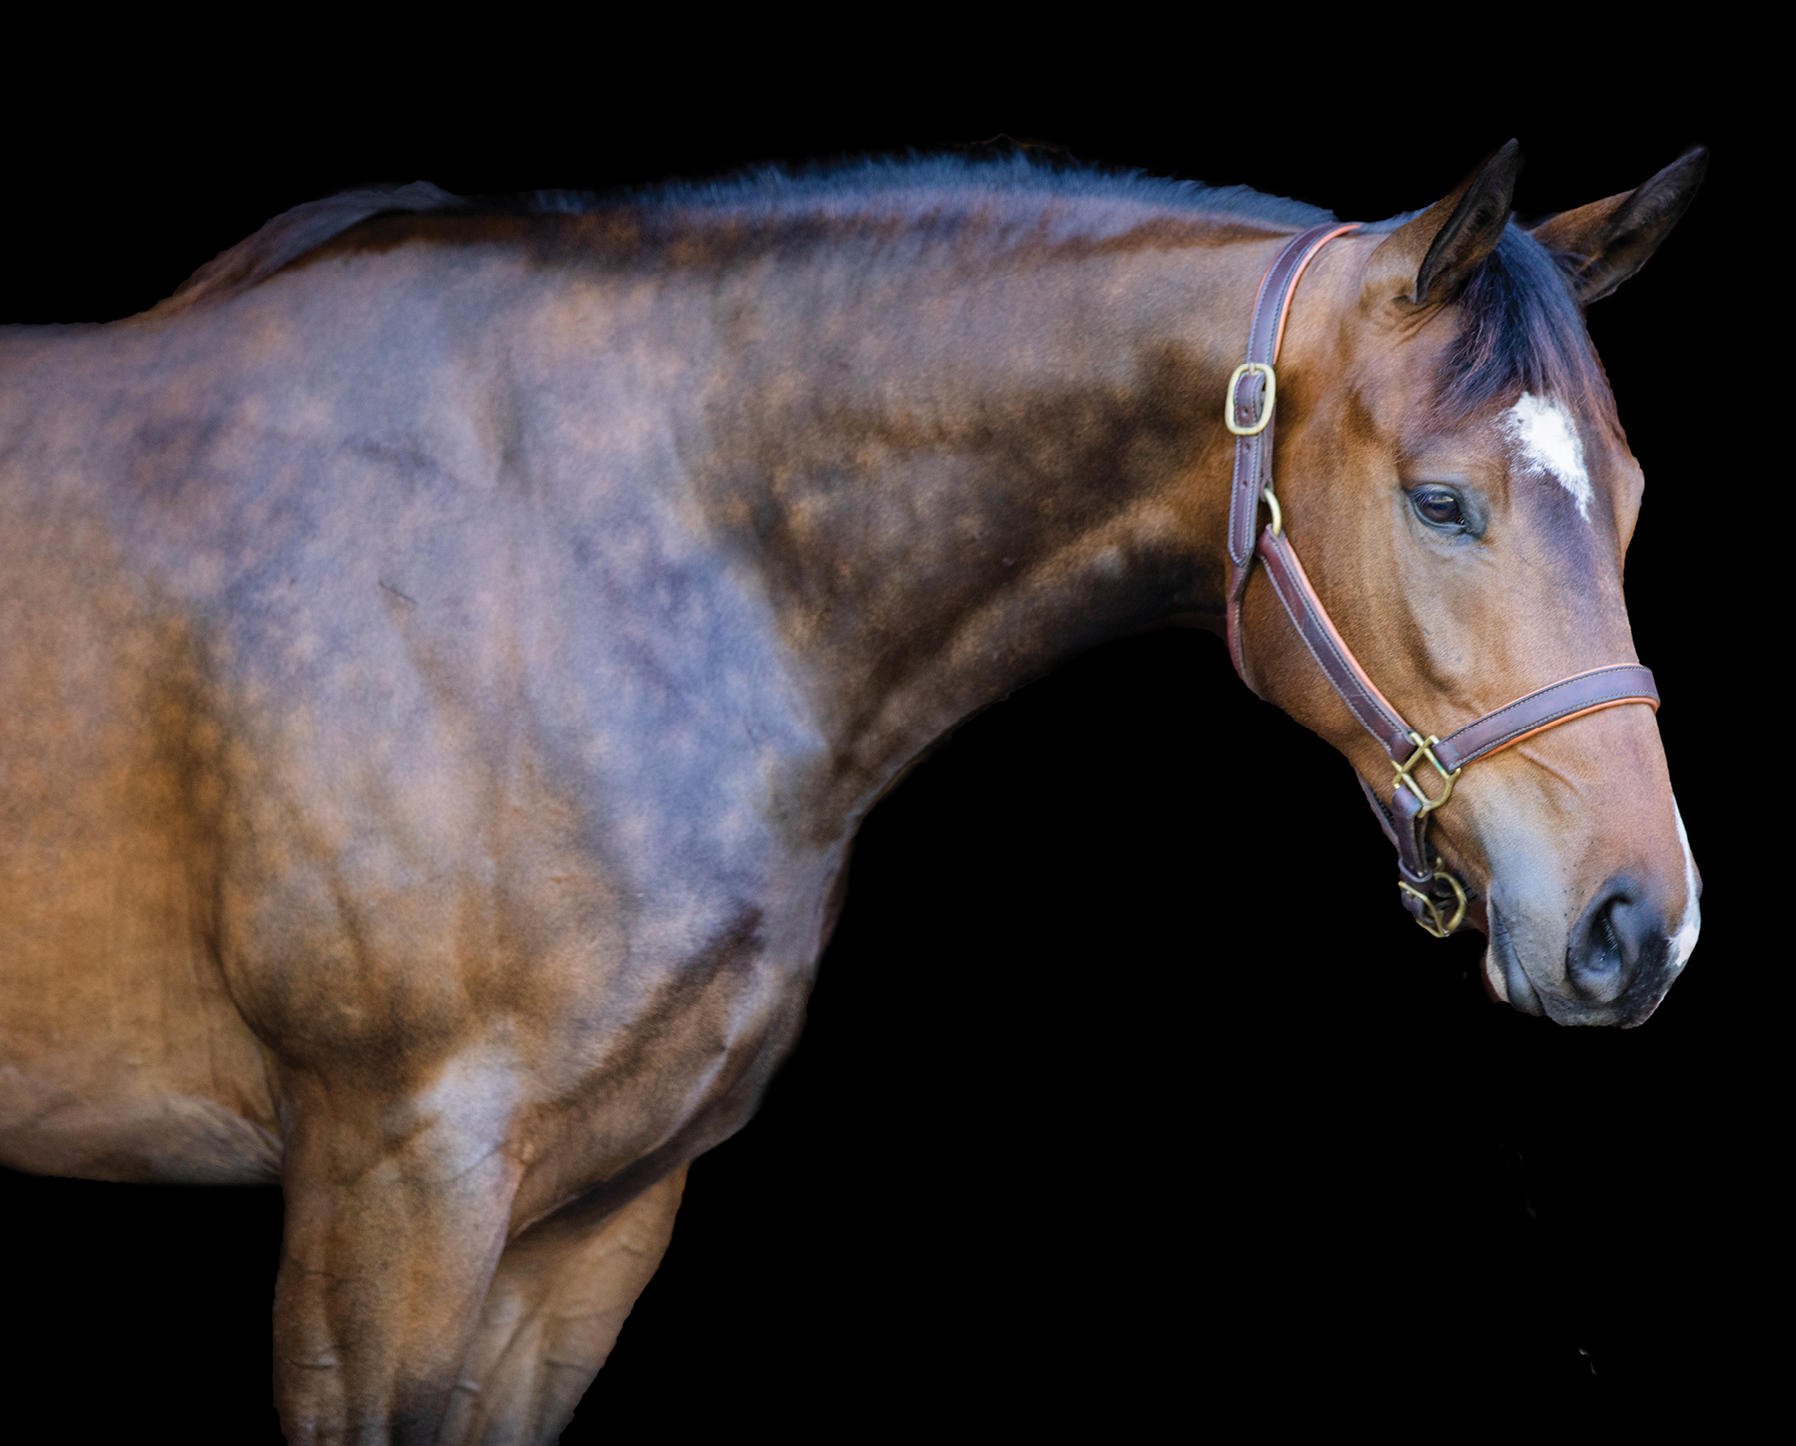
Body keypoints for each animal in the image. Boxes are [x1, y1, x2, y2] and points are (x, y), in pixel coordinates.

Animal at [0, 141, 1705, 1442]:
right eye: (1442, 501)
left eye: (1626, 497)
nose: (1641, 924)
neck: (592, 547)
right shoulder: (387, 1193)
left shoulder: (591, 1219)